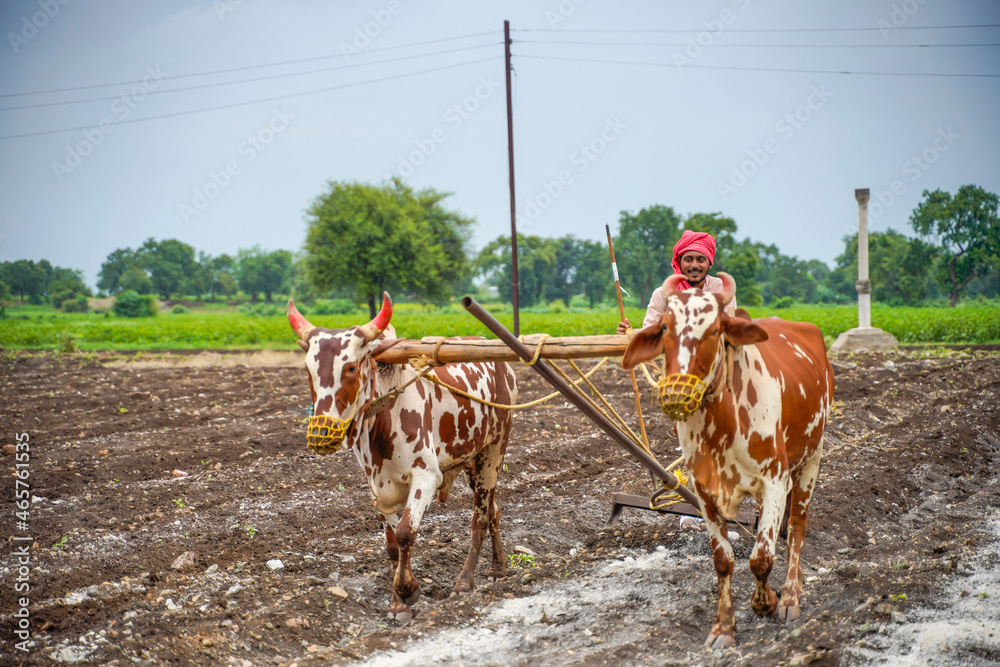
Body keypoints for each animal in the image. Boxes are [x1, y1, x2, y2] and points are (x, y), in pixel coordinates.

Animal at [287, 293, 518, 621]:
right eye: (308, 369)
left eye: (351, 368)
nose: (322, 433)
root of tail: (501, 365)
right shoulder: (379, 487)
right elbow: (393, 544)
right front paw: (397, 601)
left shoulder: (426, 477)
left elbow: (407, 532)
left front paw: (409, 590)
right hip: (472, 461)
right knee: (493, 511)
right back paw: (499, 567)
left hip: (494, 452)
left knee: (480, 518)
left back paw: (464, 581)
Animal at [621, 273, 834, 649]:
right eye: (665, 328)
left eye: (713, 330)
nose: (675, 393)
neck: (722, 423)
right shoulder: (704, 490)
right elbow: (723, 560)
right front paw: (723, 627)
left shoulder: (776, 478)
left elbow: (761, 558)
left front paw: (767, 602)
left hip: (812, 457)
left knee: (797, 526)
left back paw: (791, 594)